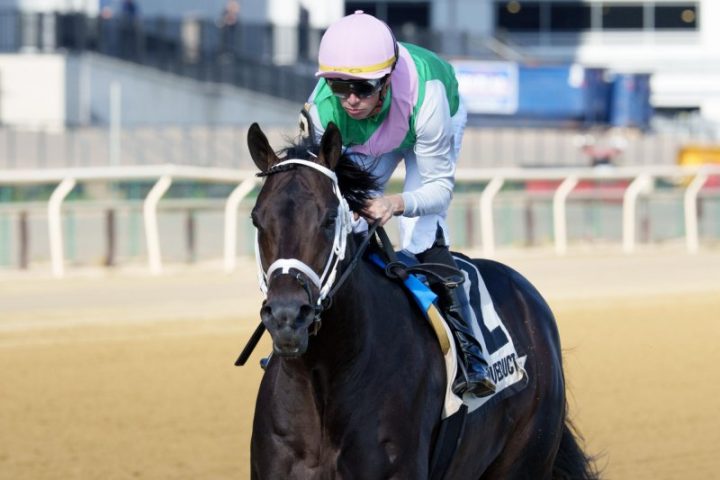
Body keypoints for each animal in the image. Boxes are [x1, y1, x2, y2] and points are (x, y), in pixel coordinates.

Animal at [245, 121, 599, 479]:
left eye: (330, 218)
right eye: (257, 219)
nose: (287, 317)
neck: (324, 377)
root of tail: (530, 300)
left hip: (526, 458)